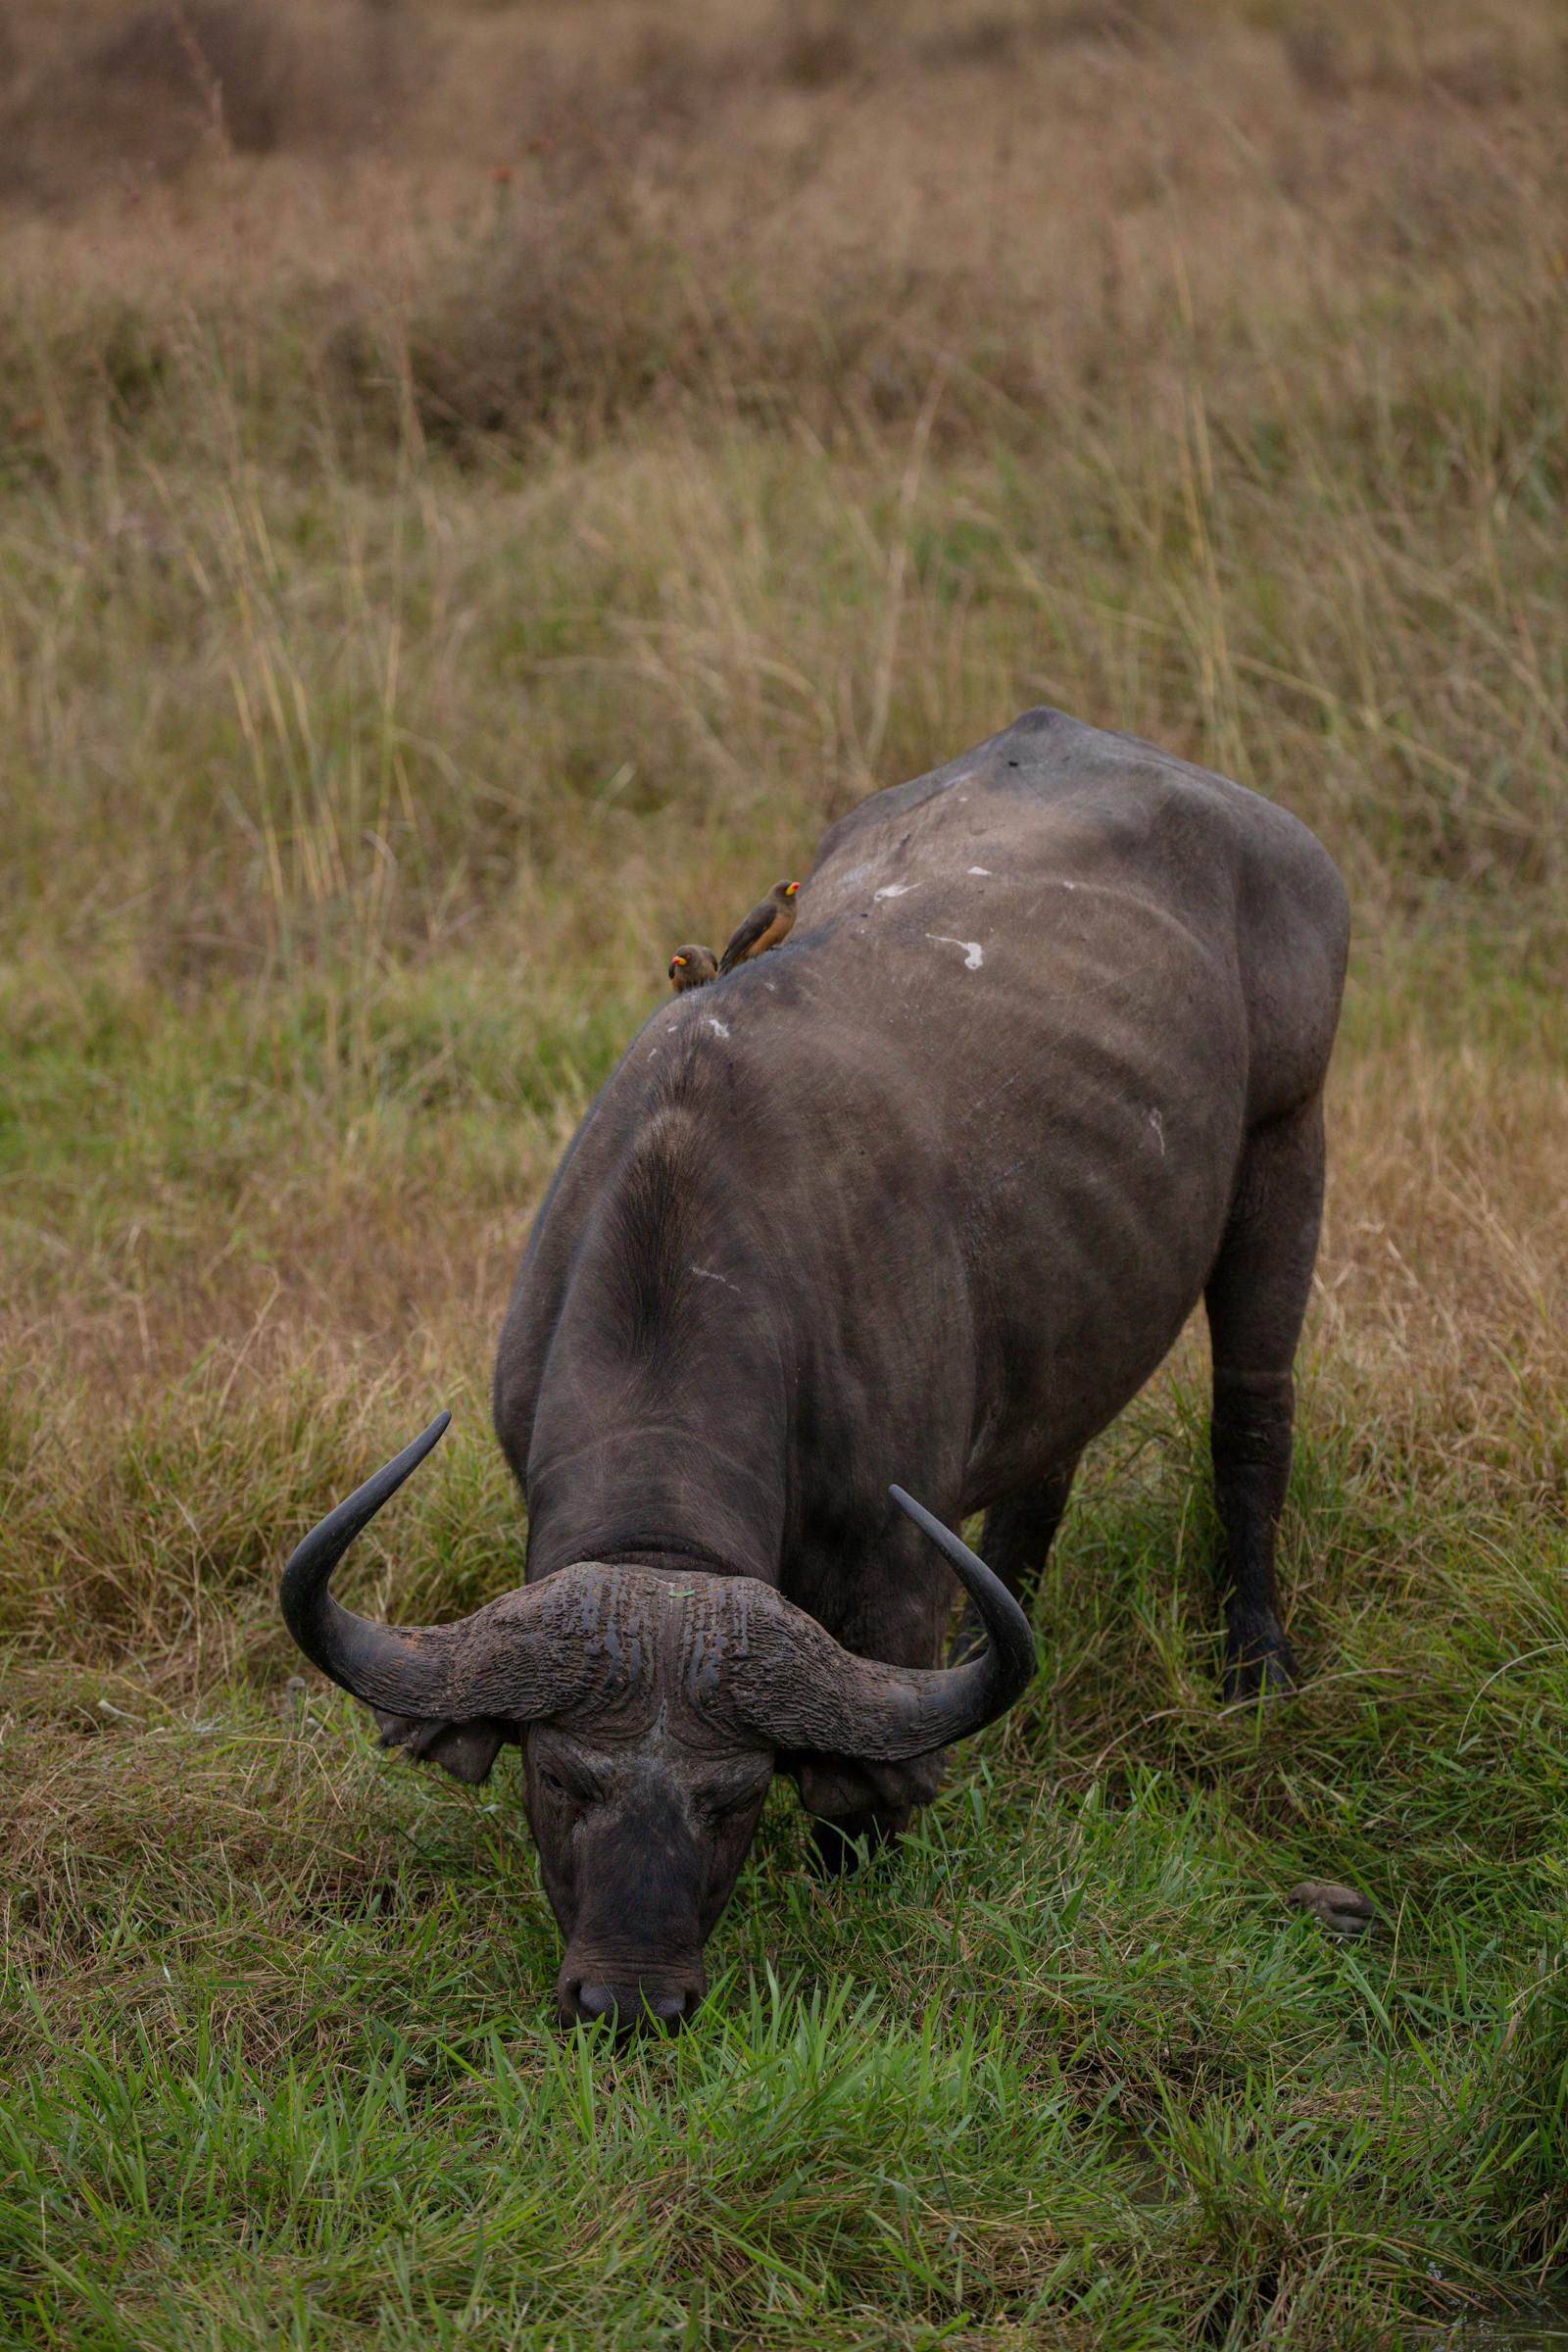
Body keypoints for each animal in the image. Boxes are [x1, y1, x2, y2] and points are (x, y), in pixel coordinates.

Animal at [281, 707, 1349, 2031]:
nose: (629, 2000)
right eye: (561, 1782)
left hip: (1287, 1144)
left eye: (734, 1799)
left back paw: (1255, 1669)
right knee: (1045, 1474)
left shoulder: (893, 1570)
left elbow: (863, 1797)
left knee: (1249, 1418)